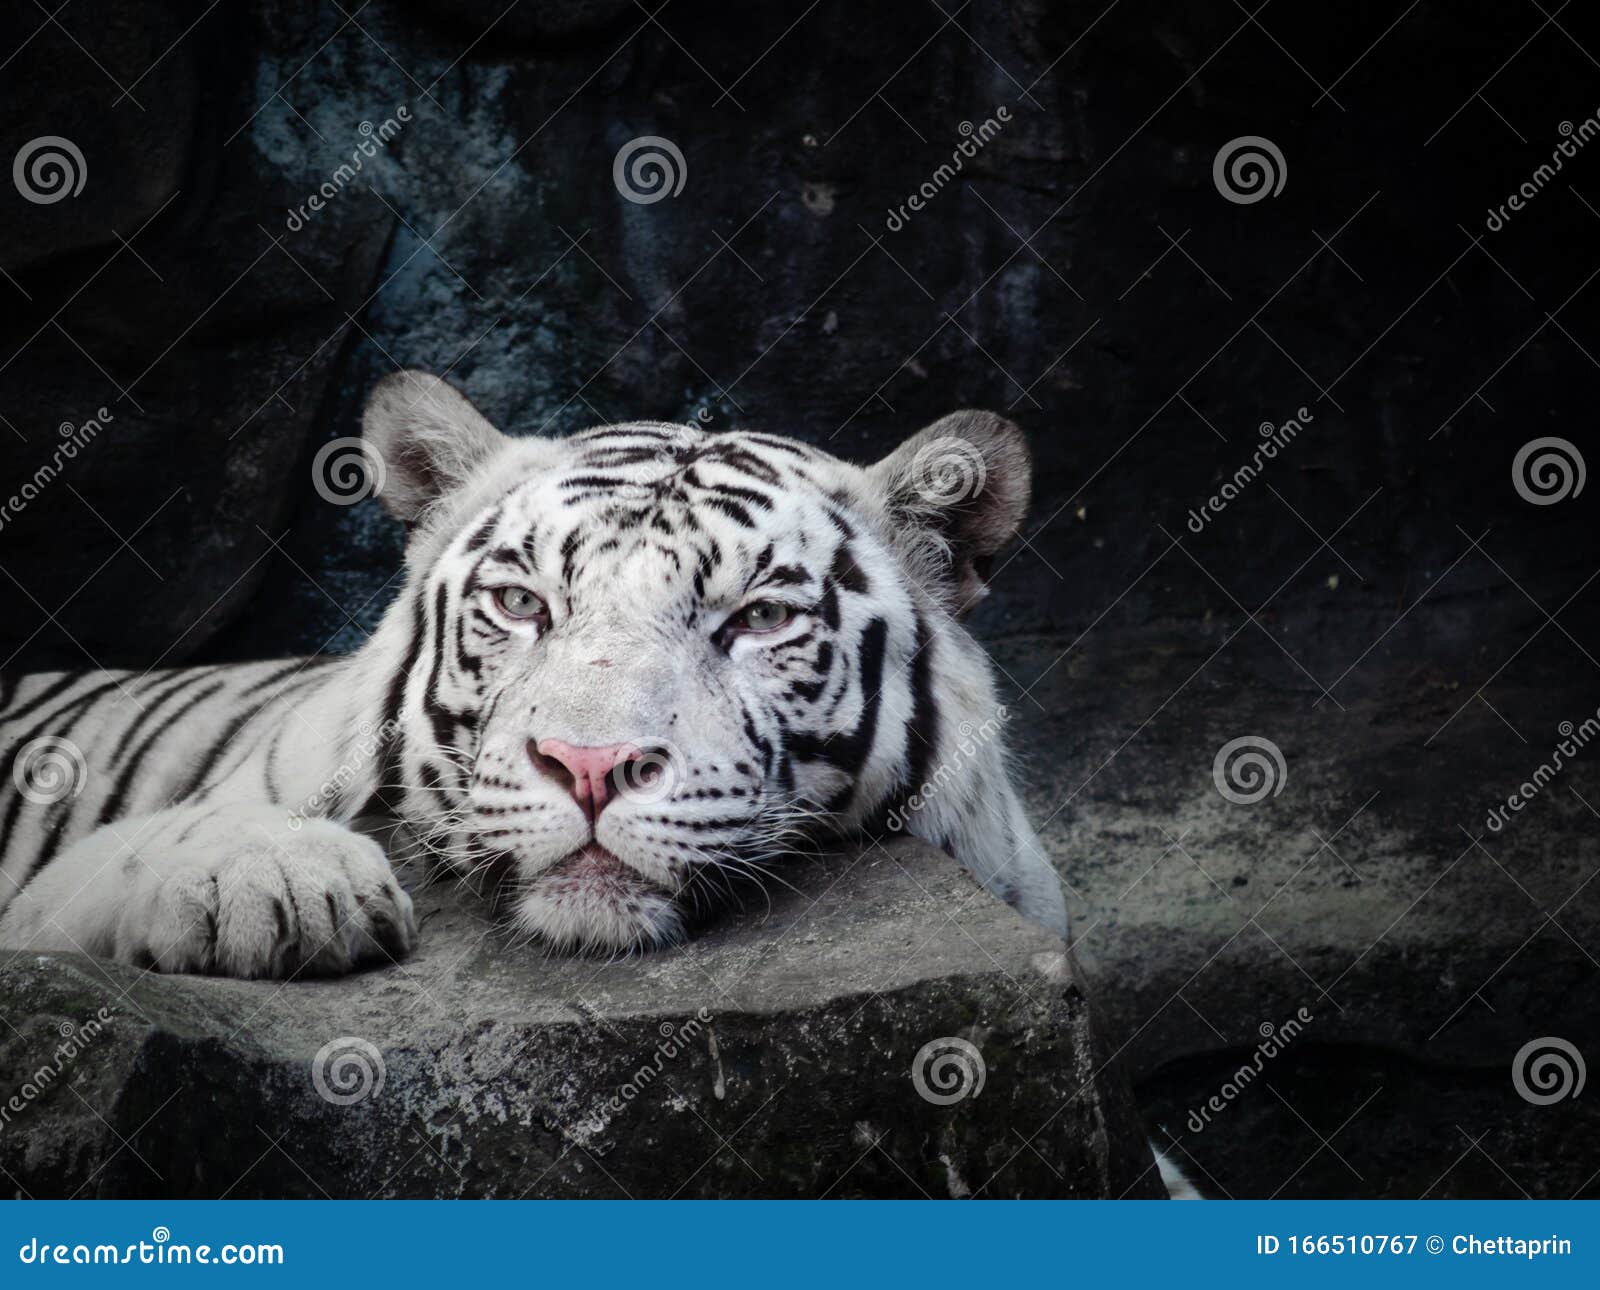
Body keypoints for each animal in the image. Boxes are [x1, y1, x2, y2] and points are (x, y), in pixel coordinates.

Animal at [0, 370, 1069, 976]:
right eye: (522, 604)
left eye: (759, 619)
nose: (588, 768)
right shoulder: (50, 896)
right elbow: (152, 846)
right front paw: (282, 883)